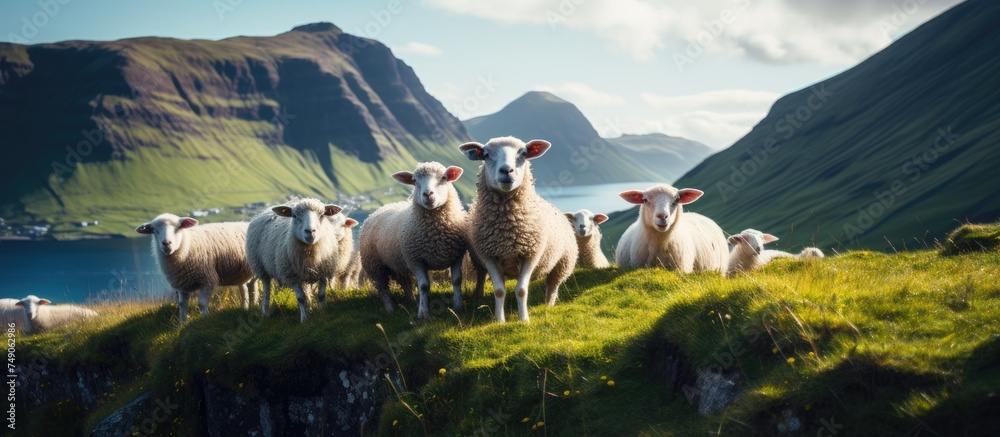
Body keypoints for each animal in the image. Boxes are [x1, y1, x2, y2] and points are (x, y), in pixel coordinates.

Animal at [359, 162, 471, 319]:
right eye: (414, 181)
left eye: (444, 178)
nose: (428, 194)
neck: (435, 235)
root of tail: (383, 207)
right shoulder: (415, 260)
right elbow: (424, 286)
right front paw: (423, 313)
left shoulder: (456, 256)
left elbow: (457, 281)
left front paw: (458, 306)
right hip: (376, 265)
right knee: (383, 287)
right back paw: (390, 309)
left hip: (397, 262)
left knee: (404, 281)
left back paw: (411, 301)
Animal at [459, 136, 579, 322]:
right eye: (486, 155)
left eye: (523, 153)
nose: (507, 170)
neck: (506, 229)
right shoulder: (488, 256)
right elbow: (499, 290)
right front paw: (499, 320)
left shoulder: (531, 255)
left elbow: (521, 290)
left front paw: (524, 319)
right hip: (478, 261)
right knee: (481, 276)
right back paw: (478, 296)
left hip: (563, 263)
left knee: (553, 284)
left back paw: (549, 304)